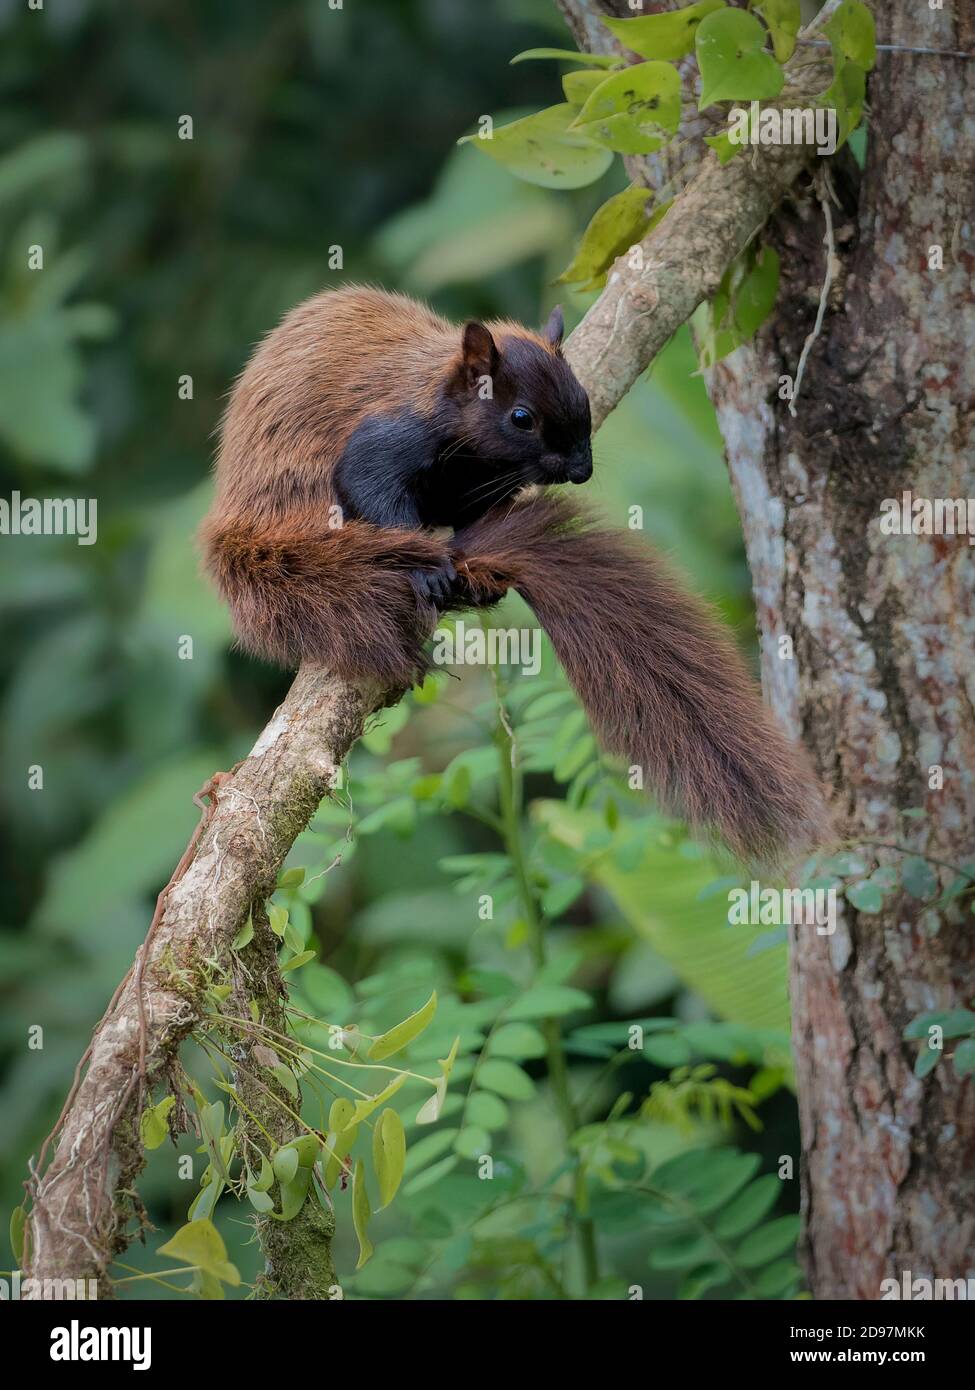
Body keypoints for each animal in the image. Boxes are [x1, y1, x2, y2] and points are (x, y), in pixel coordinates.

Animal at [201, 284, 829, 863]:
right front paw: (429, 570)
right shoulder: (384, 437)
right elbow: (371, 484)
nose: (581, 469)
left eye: (582, 397)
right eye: (521, 417)